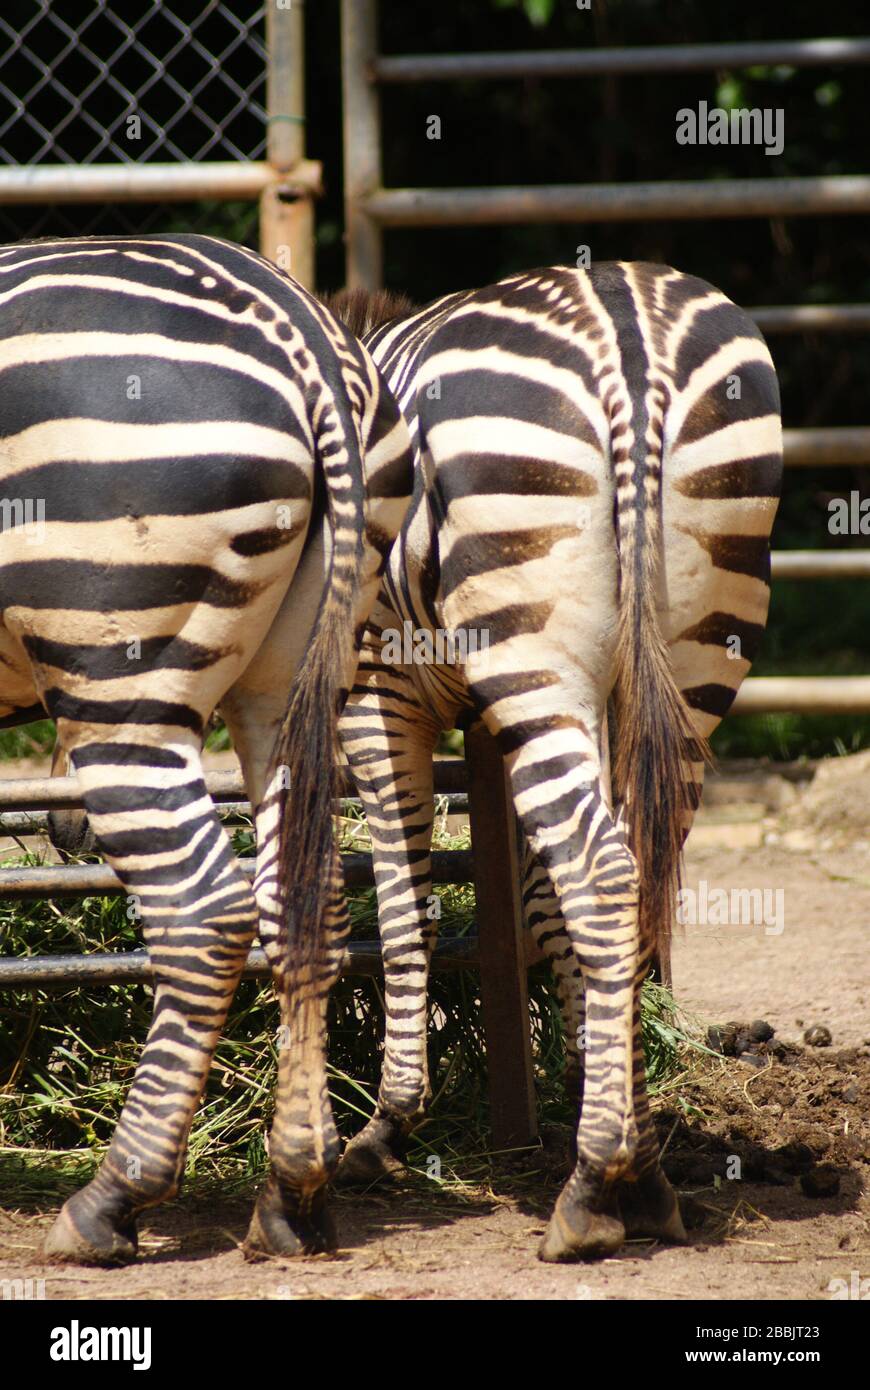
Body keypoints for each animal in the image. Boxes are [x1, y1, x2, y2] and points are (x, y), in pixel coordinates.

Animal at [0, 232, 412, 1265]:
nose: (62, 830)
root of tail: (302, 333)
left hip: (115, 658)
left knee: (204, 913)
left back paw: (110, 1202)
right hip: (291, 682)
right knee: (307, 904)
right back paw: (293, 1193)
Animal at [326, 262, 782, 1262]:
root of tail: (627, 334)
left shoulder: (381, 698)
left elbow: (406, 905)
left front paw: (386, 1128)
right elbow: (540, 907)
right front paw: (583, 1077)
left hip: (535, 643)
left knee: (605, 875)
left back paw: (590, 1189)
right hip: (685, 654)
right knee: (638, 875)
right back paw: (637, 1172)